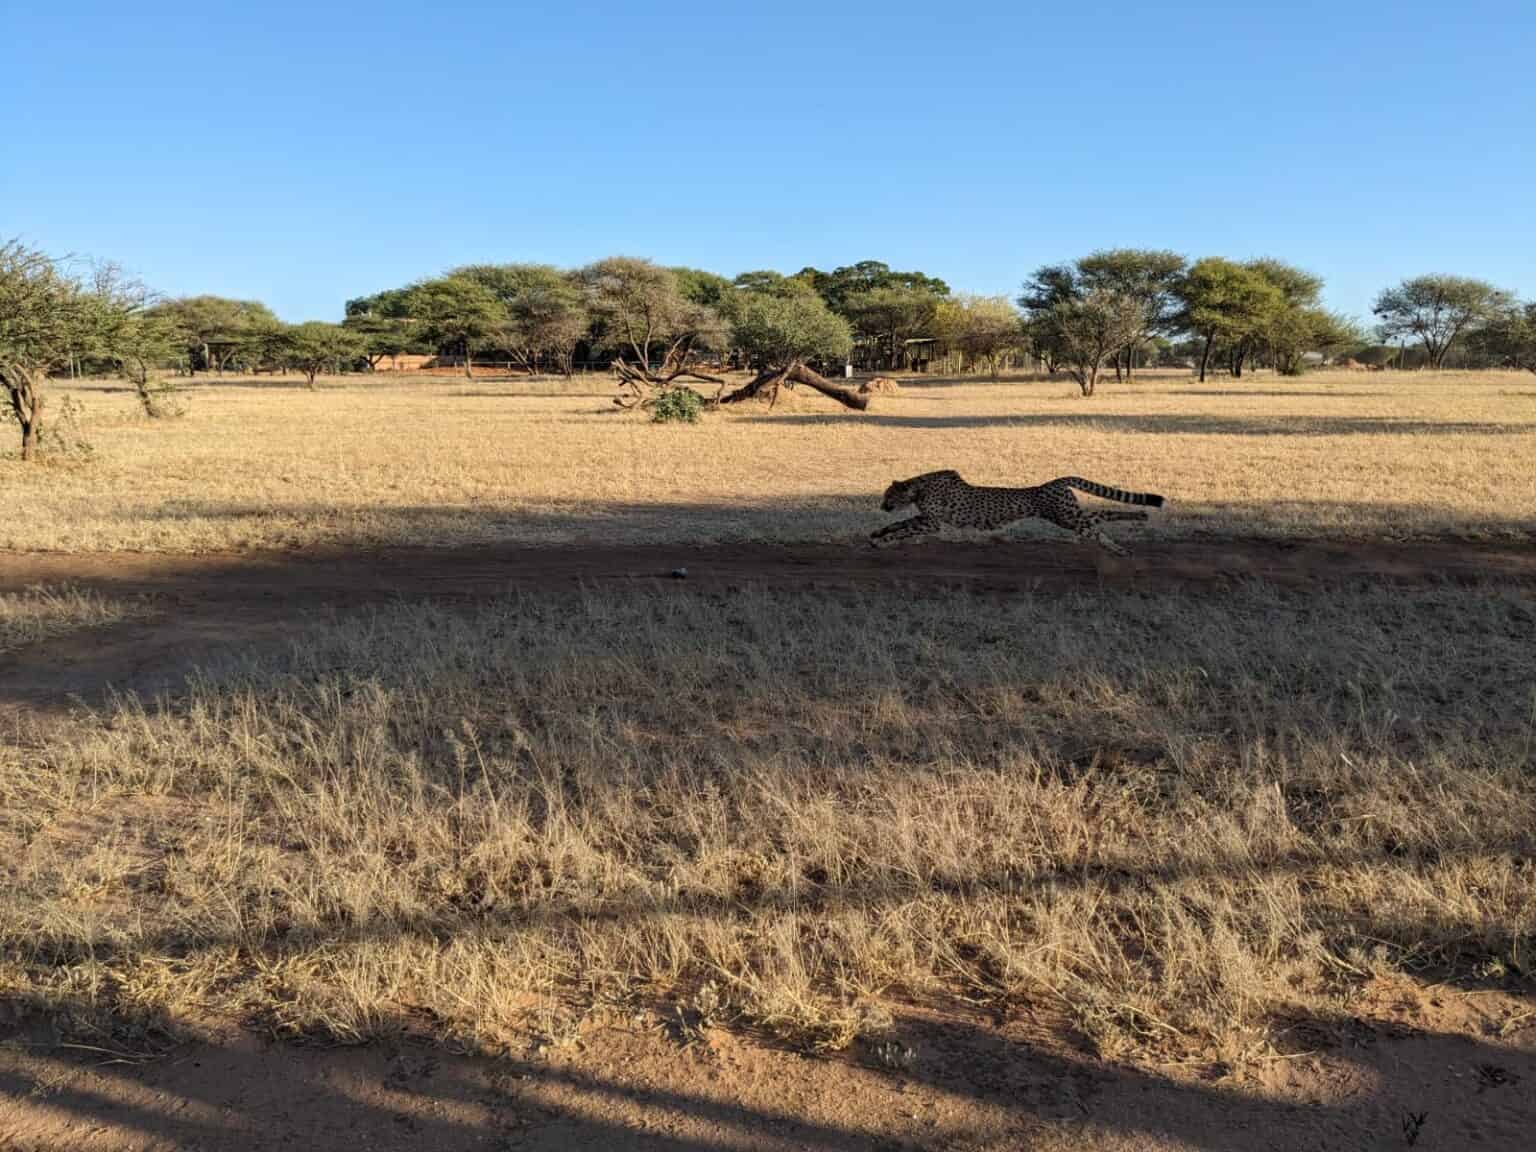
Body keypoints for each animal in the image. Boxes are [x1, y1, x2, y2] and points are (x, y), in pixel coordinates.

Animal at [872, 470, 1165, 555]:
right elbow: (901, 523)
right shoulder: (926, 518)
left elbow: (905, 528)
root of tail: (1056, 481)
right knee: (1101, 517)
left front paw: (884, 541)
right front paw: (878, 532)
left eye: (888, 496)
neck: (918, 487)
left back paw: (1119, 545)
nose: (882, 506)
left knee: (1095, 526)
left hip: (1068, 517)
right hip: (1068, 516)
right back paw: (1138, 521)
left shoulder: (933, 523)